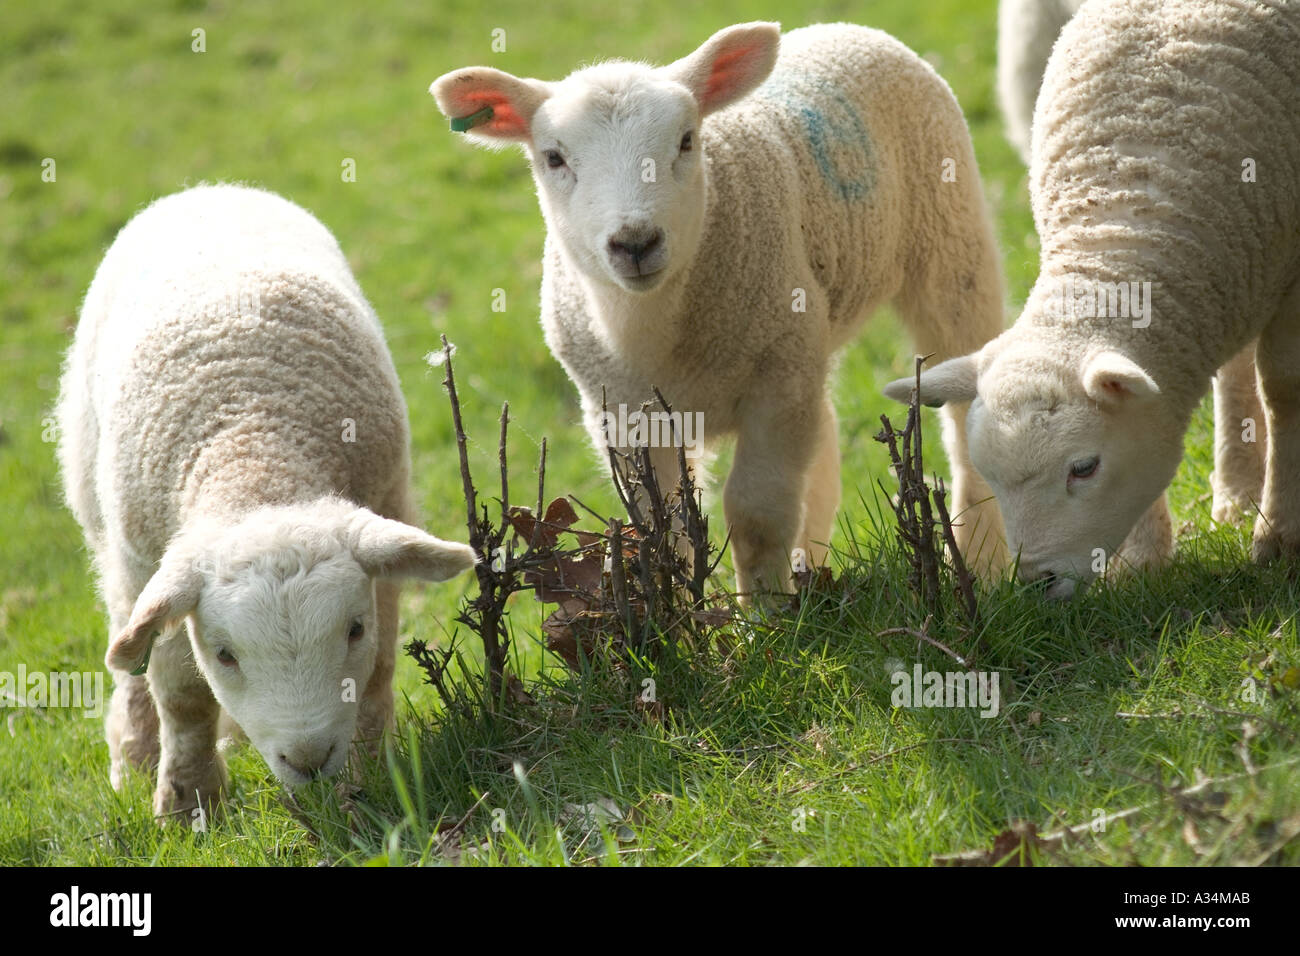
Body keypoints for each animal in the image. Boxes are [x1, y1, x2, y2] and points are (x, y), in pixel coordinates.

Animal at [56, 184, 476, 820]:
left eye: (354, 629)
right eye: (225, 654)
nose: (308, 760)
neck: (256, 457)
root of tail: (209, 188)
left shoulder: (386, 513)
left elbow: (378, 672)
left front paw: (369, 776)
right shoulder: (151, 559)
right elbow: (180, 693)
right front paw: (187, 803)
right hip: (109, 534)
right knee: (130, 652)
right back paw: (135, 758)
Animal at [430, 21, 1008, 600]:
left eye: (687, 140)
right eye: (553, 157)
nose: (635, 243)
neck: (650, 328)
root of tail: (842, 28)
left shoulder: (776, 387)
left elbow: (756, 517)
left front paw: (769, 615)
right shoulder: (620, 415)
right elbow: (660, 529)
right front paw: (679, 614)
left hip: (952, 249)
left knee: (964, 419)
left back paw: (982, 560)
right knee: (824, 445)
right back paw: (813, 565)